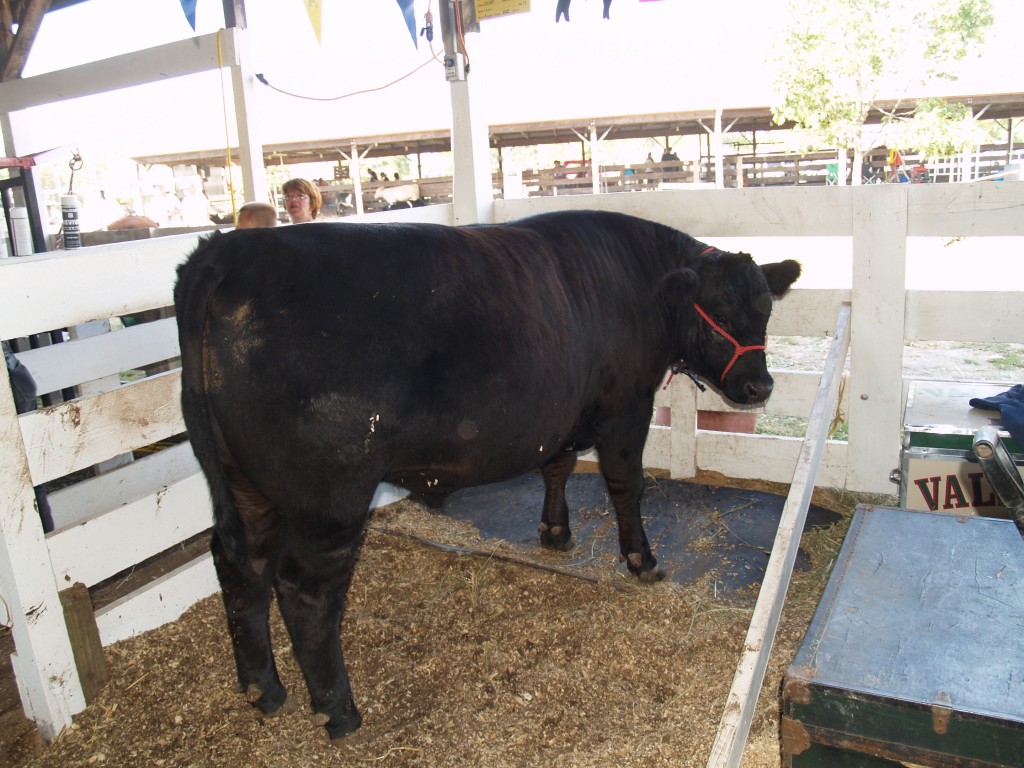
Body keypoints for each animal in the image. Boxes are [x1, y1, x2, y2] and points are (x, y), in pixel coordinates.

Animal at [174, 209, 800, 742]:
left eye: (765, 309)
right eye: (717, 315)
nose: (760, 386)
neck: (641, 284)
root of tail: (224, 253)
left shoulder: (561, 412)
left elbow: (558, 465)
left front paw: (554, 532)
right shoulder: (626, 407)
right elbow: (627, 485)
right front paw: (642, 560)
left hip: (239, 483)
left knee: (239, 563)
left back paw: (263, 690)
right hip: (330, 495)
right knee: (304, 590)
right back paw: (340, 711)